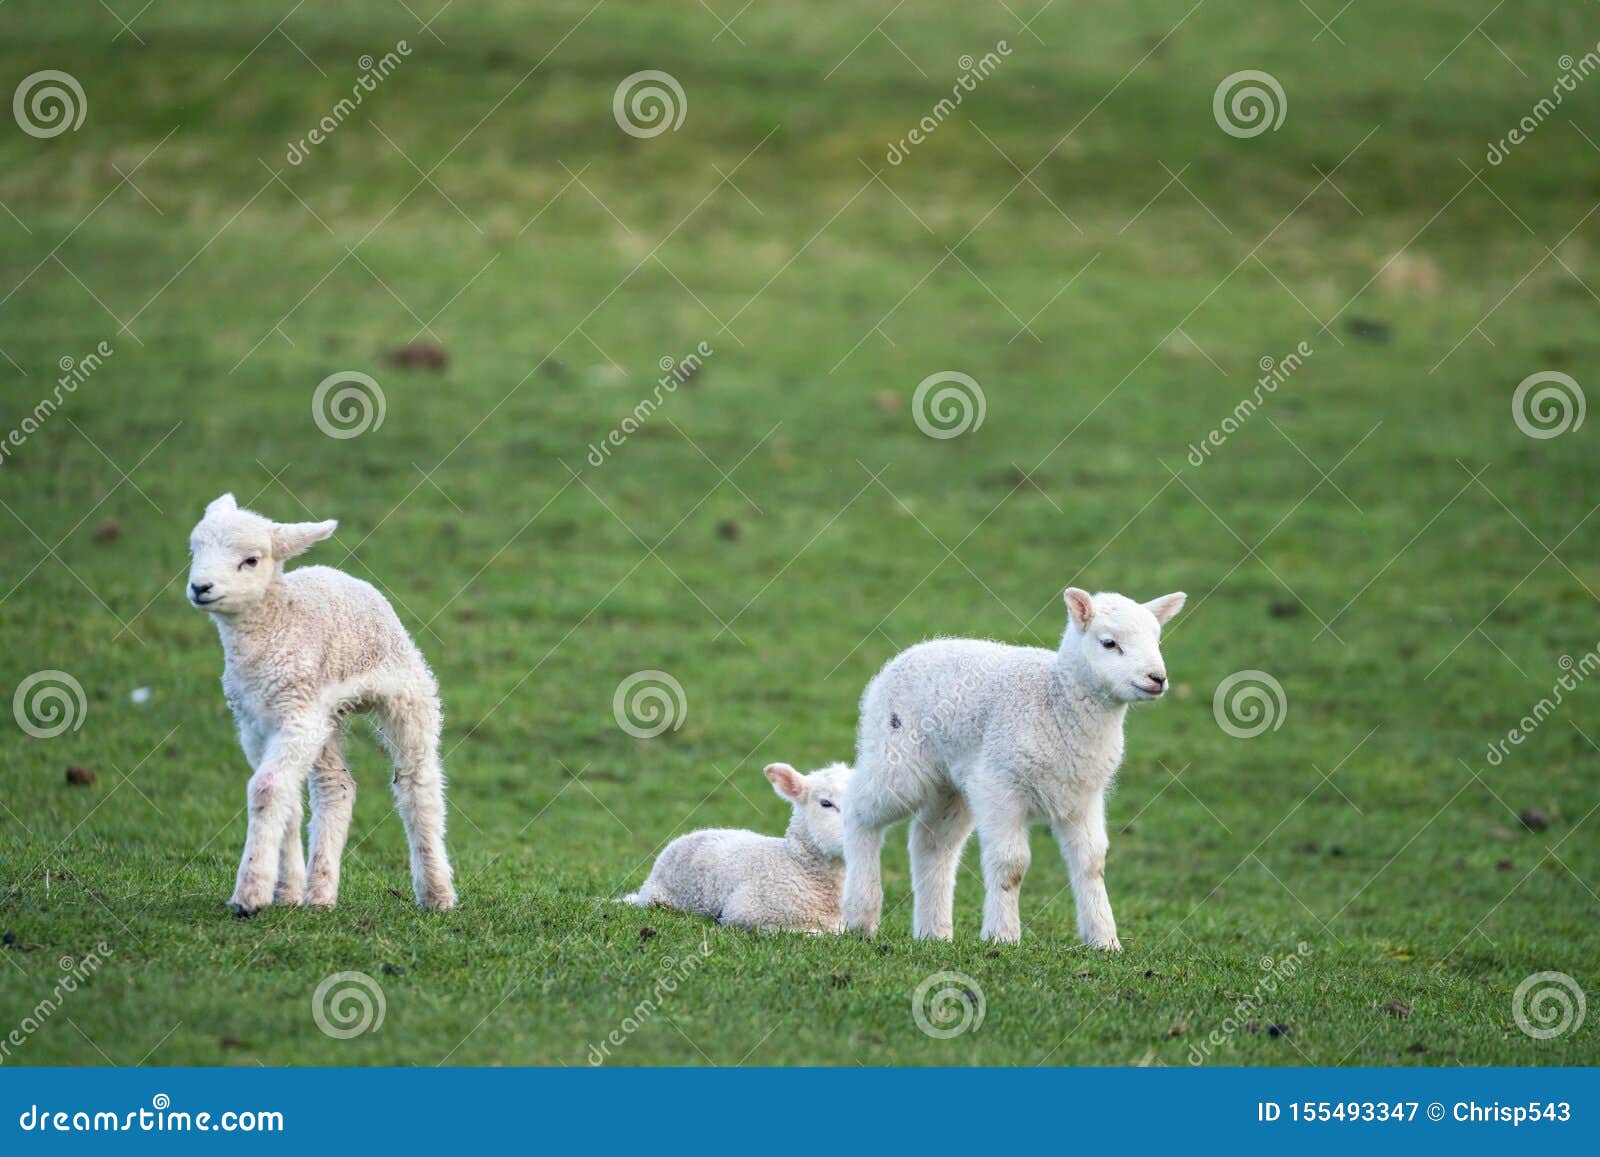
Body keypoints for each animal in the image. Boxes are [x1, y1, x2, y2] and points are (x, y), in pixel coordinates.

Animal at [186, 493, 457, 915]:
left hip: (406, 695)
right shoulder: (255, 724)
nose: (200, 587)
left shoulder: (296, 717)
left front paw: (250, 893)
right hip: (324, 717)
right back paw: (320, 893)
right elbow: (284, 796)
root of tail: (346, 577)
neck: (275, 625)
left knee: (419, 783)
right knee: (337, 787)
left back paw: (437, 892)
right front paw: (285, 890)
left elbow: (266, 788)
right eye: (194, 551)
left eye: (251, 560)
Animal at [841, 587, 1185, 950]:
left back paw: (934, 933)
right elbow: (1011, 865)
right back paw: (861, 914)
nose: (1157, 679)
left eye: (1157, 640)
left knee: (931, 842)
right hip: (896, 756)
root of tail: (908, 653)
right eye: (1109, 643)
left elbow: (1092, 863)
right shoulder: (1000, 784)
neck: (1056, 702)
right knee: (858, 811)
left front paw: (1105, 941)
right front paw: (1003, 936)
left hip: (953, 783)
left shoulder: (1083, 795)